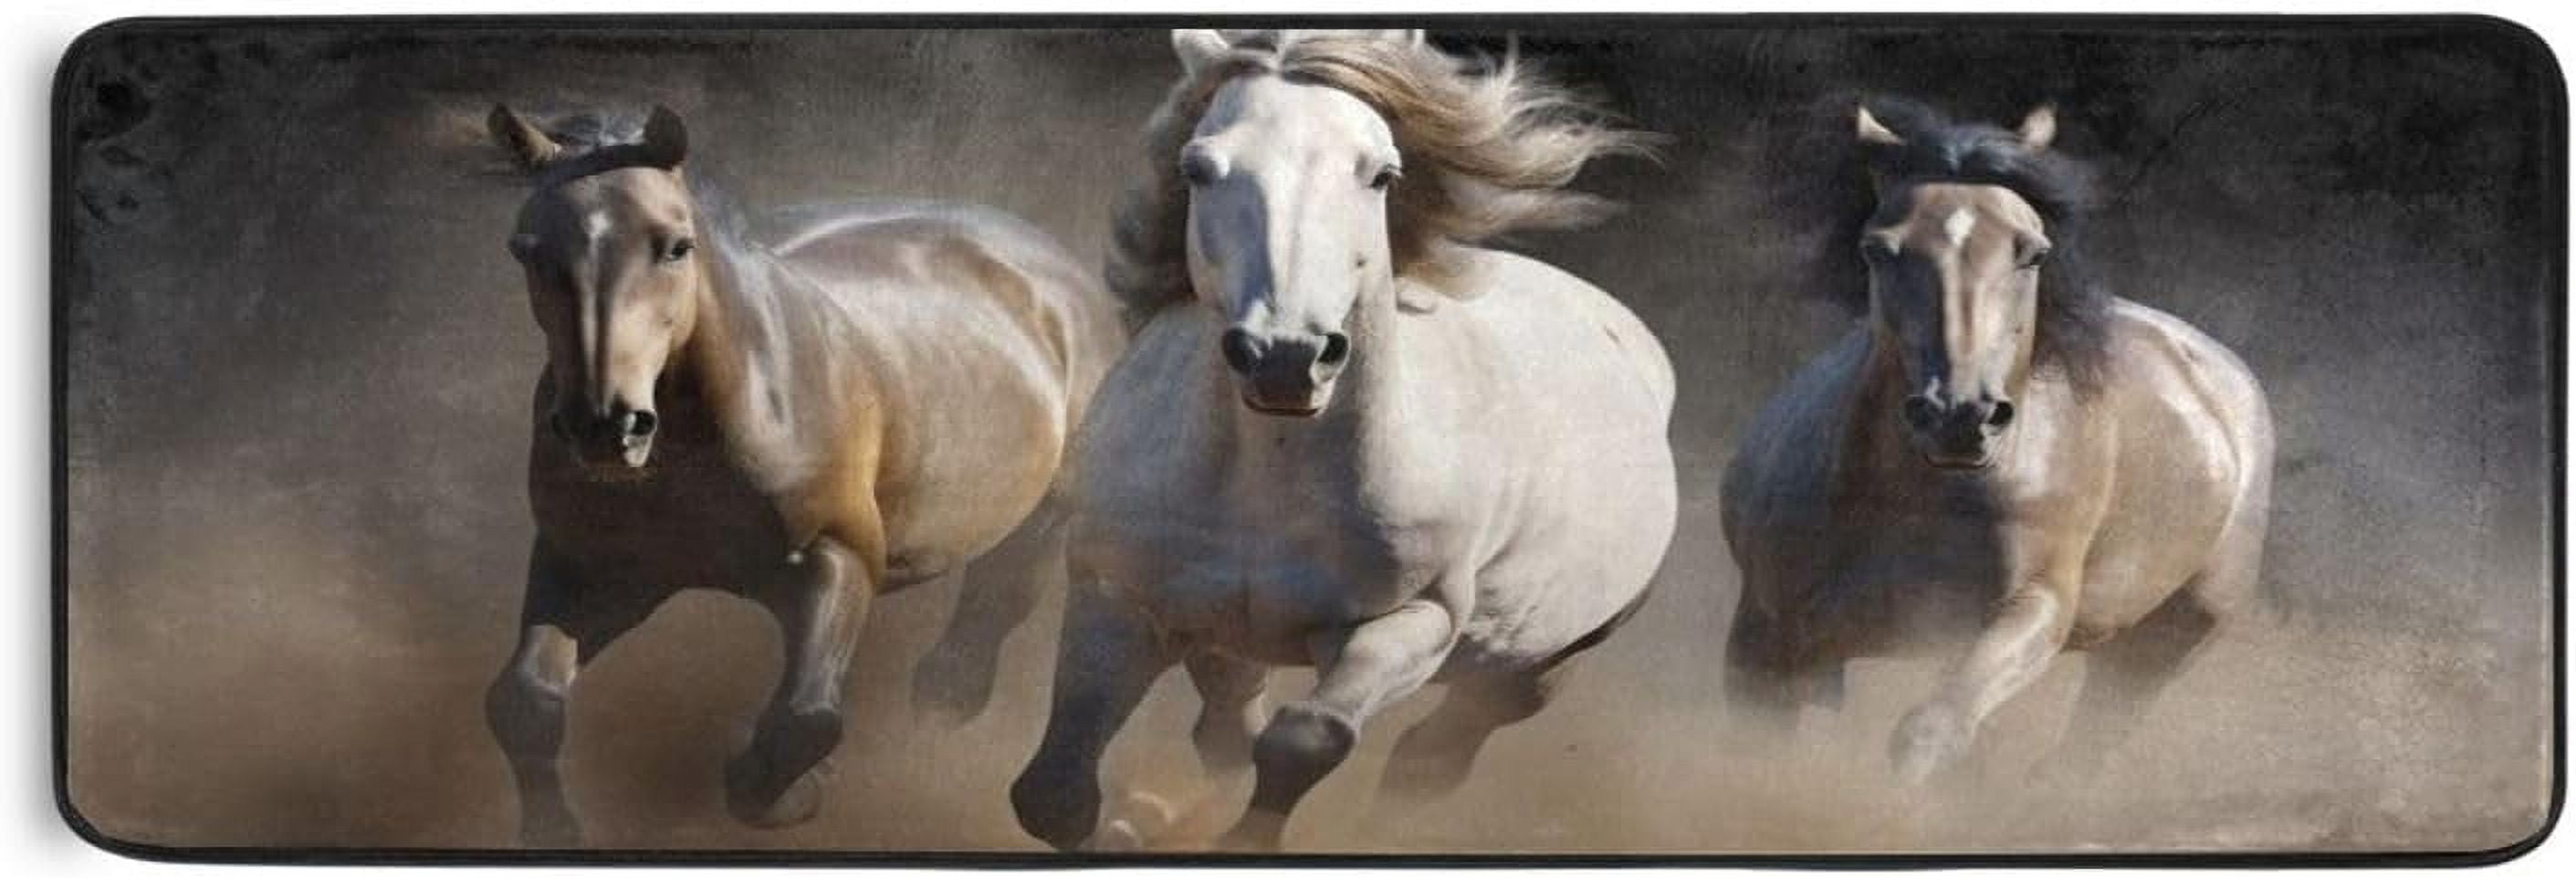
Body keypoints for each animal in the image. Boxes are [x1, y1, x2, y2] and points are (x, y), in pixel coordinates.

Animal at [479, 103, 1123, 845]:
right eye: (527, 250)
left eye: (675, 246)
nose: (605, 425)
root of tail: (1056, 273)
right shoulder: (594, 569)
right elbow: (525, 701)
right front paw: (551, 832)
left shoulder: (836, 557)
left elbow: (807, 720)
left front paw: (784, 790)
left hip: (1044, 519)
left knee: (970, 652)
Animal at [1007, 29, 1677, 852]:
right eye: (1198, 167)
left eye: (1381, 174)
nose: (1286, 357)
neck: (1268, 476)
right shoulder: (1119, 597)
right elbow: (1054, 793)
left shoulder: (1414, 622)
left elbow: (1307, 737)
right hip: (1225, 633)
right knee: (1227, 724)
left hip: (1539, 668)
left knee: (1429, 758)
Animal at [1719, 98, 2275, 785]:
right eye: (1878, 250)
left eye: (2031, 253)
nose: (1960, 416)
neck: (1912, 500)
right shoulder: (1764, 639)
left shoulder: (2030, 610)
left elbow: (1929, 733)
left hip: (2171, 635)